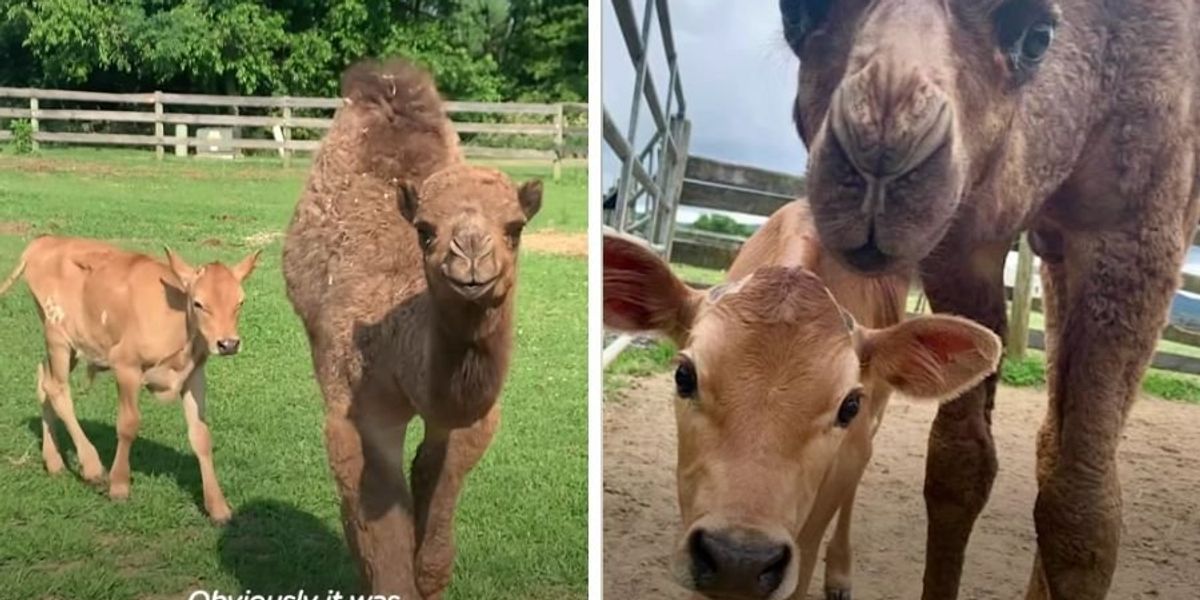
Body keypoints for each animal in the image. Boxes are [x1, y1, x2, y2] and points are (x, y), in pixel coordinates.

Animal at [0, 236, 259, 523]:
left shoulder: (194, 374)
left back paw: (54, 460)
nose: (228, 344)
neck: (176, 324)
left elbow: (201, 436)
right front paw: (119, 485)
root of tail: (44, 240)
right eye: (199, 303)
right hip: (57, 335)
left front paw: (218, 506)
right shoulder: (126, 366)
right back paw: (92, 466)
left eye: (240, 302)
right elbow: (128, 424)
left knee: (44, 382)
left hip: (74, 345)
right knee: (57, 390)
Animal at [281, 59, 542, 598]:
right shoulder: (360, 411)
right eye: (424, 229)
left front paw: (429, 572)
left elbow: (431, 480)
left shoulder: (470, 419)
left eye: (515, 228)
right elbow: (382, 530)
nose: (471, 254)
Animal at [779, 0, 1200, 597]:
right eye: (796, 14)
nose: (880, 147)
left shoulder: (1140, 226)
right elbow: (959, 463)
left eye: (1036, 36)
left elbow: (1085, 510)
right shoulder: (965, 237)